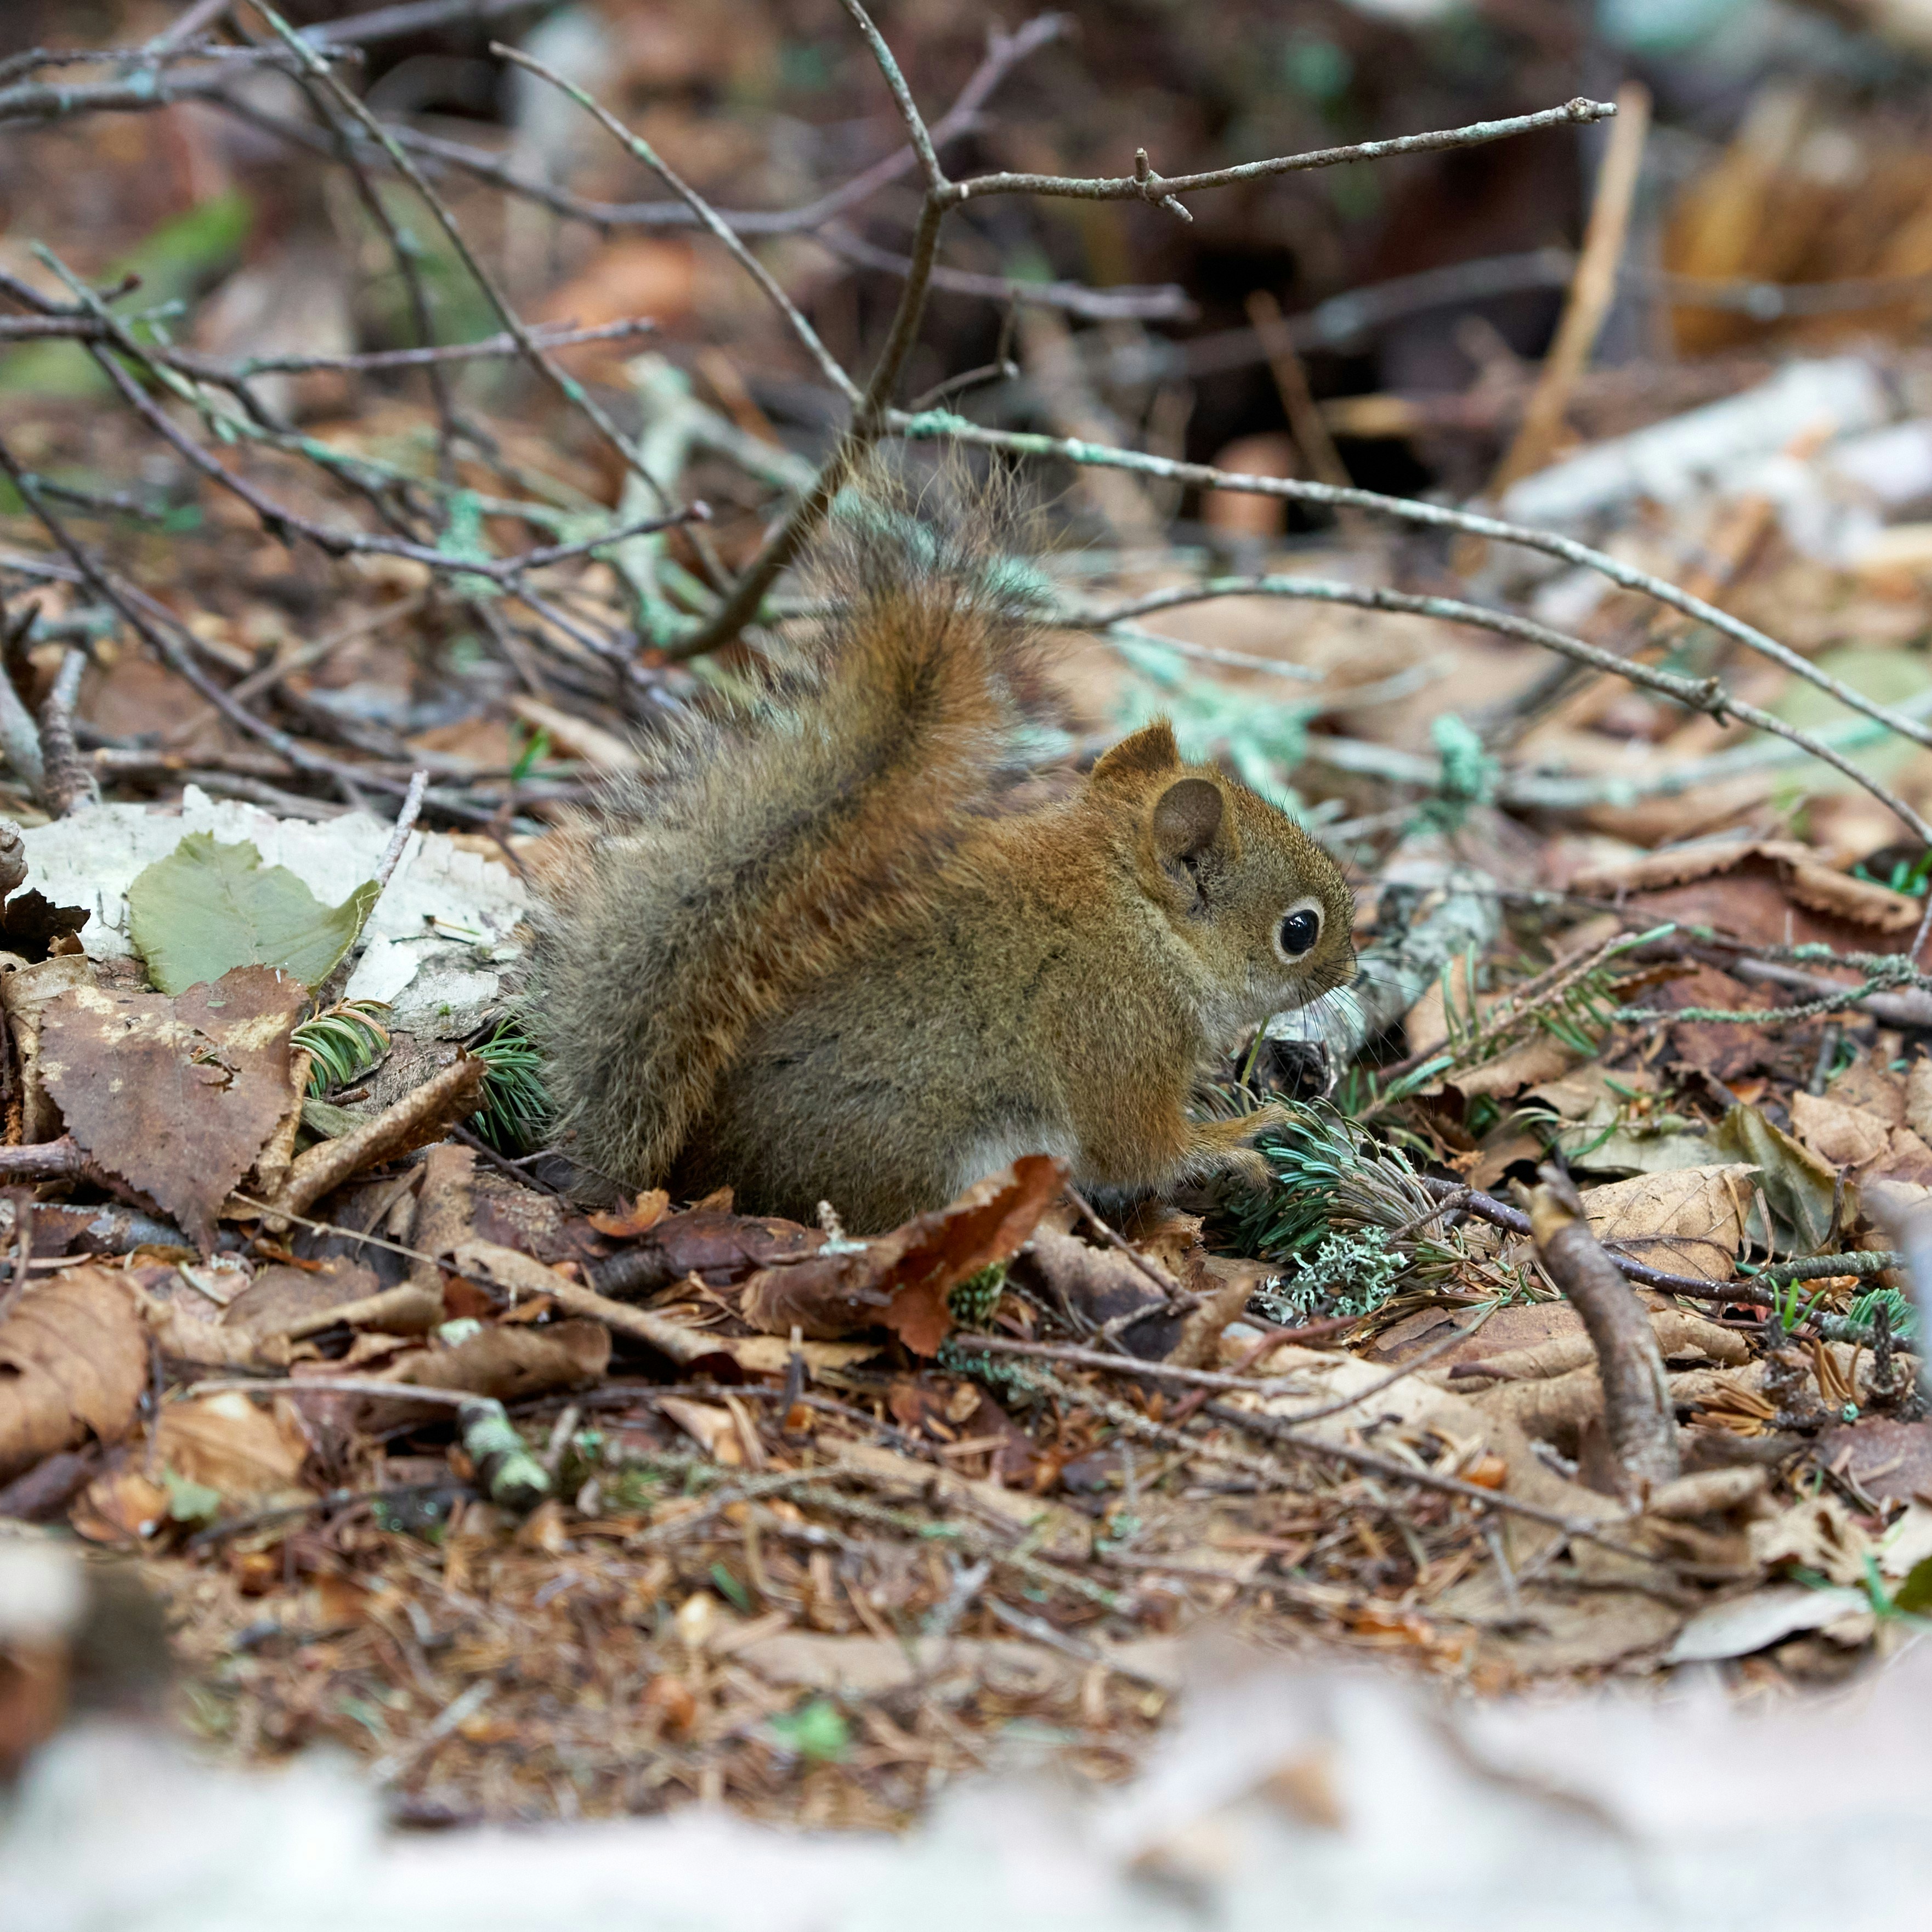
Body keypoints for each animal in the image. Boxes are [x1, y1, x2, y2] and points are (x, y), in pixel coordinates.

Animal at [528, 499, 1357, 1233]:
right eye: (1299, 929)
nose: (1351, 968)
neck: (1142, 921)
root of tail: (697, 1173)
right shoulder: (1118, 1035)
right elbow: (1140, 1147)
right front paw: (1234, 1140)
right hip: (923, 1153)